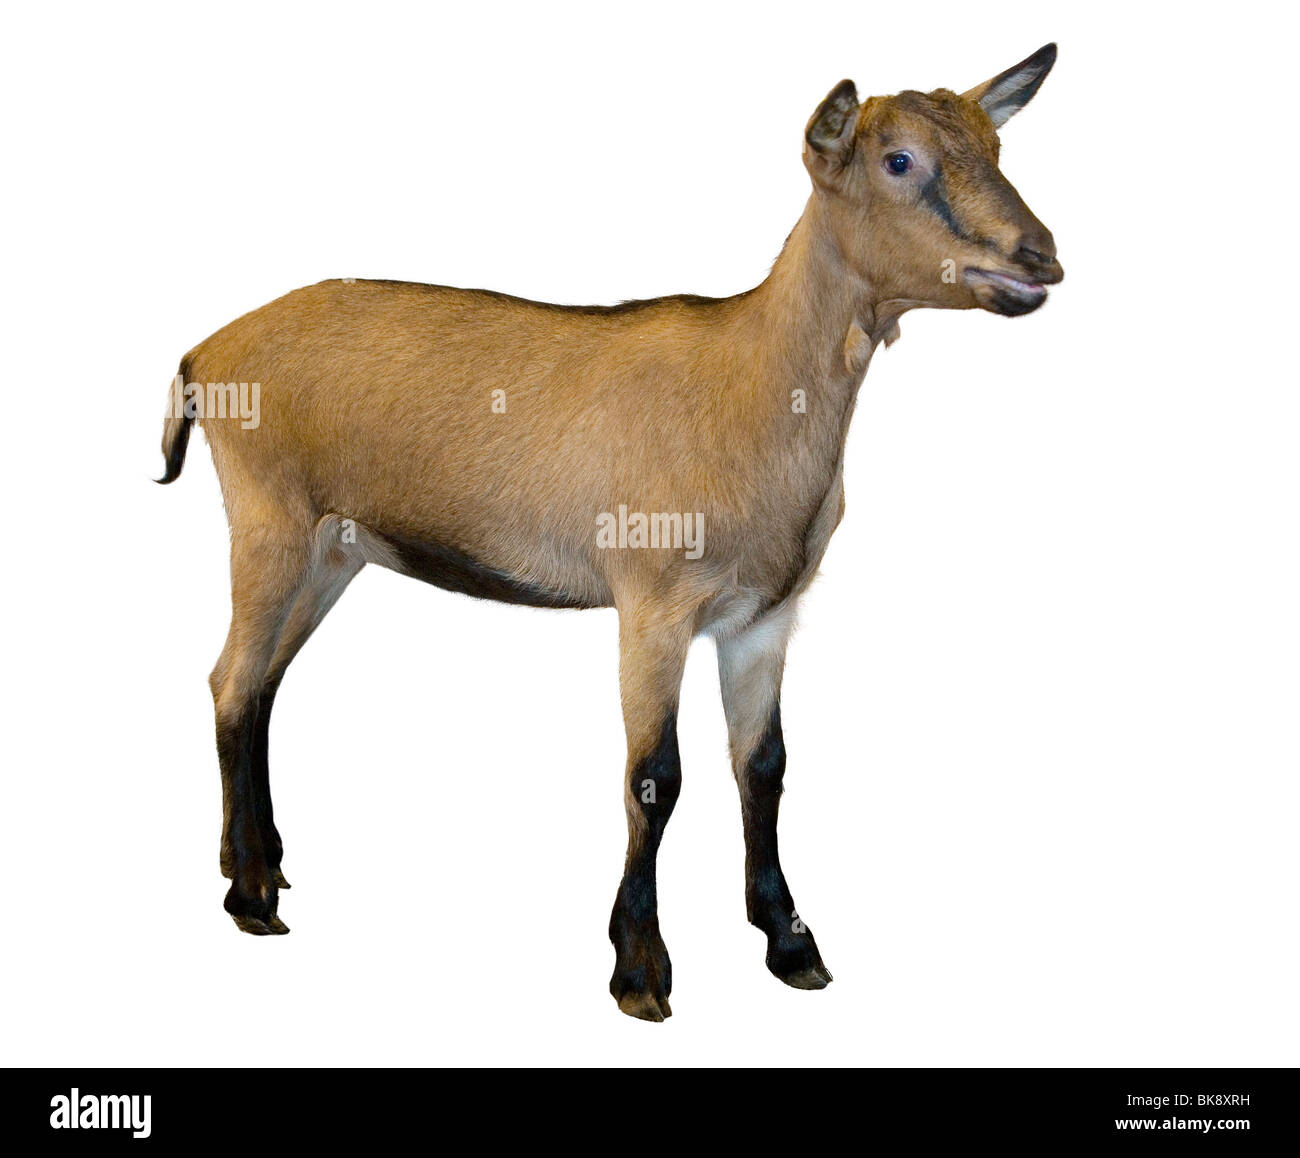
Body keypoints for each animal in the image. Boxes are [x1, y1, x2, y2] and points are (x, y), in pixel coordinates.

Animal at [159, 45, 1063, 1020]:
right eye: (899, 161)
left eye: (996, 146)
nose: (1040, 258)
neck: (747, 384)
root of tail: (204, 356)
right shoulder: (653, 603)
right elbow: (654, 776)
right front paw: (640, 970)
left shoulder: (763, 615)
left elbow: (765, 765)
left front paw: (791, 942)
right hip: (269, 523)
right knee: (232, 679)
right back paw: (251, 896)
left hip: (335, 550)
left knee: (262, 683)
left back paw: (262, 863)